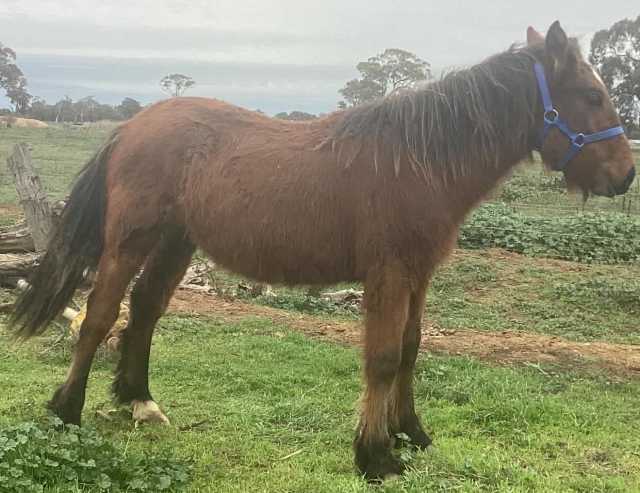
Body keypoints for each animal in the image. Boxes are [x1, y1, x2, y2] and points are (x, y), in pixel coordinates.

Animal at [11, 21, 635, 480]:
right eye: (591, 95)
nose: (626, 175)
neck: (420, 160)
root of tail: (132, 126)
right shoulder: (388, 274)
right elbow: (382, 357)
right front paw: (375, 456)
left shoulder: (420, 274)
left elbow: (410, 350)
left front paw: (411, 433)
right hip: (129, 240)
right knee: (100, 315)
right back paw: (66, 410)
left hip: (175, 243)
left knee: (143, 311)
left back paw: (139, 401)